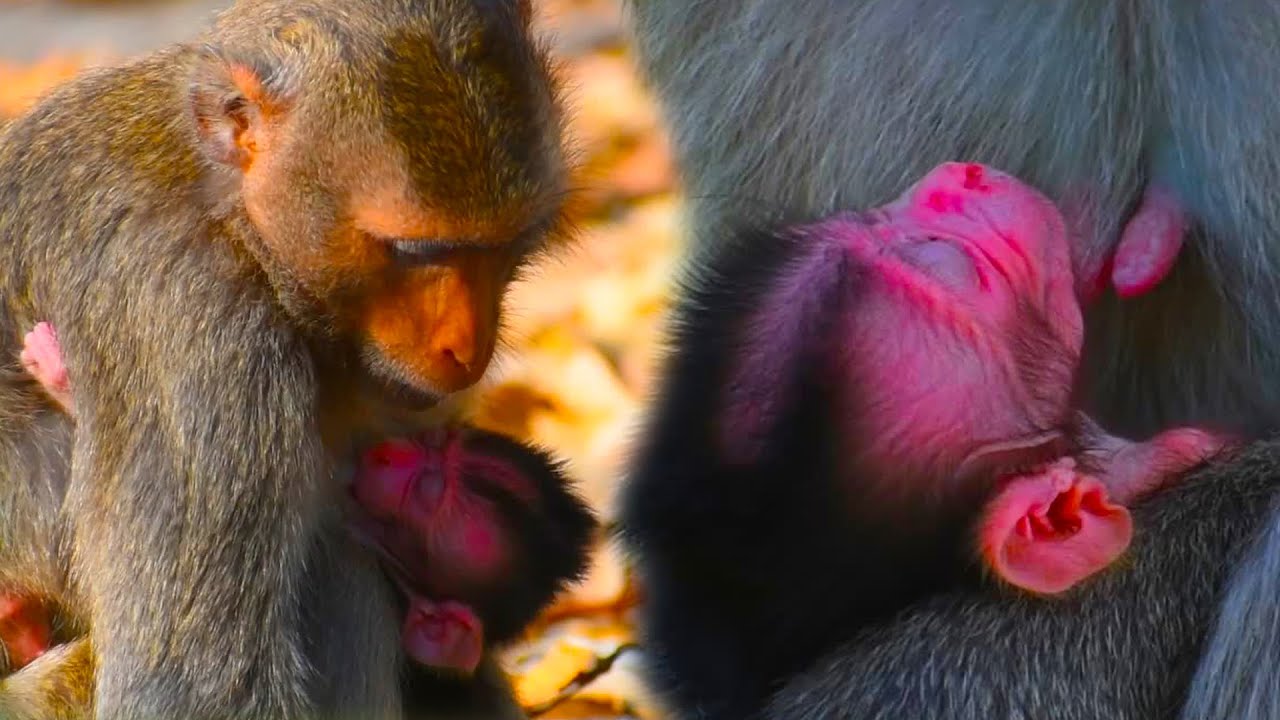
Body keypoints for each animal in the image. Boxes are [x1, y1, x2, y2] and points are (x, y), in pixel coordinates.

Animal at [0, 0, 571, 718]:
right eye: (414, 251)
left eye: (504, 247)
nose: (467, 348)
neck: (236, 219)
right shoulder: (197, 326)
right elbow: (189, 690)